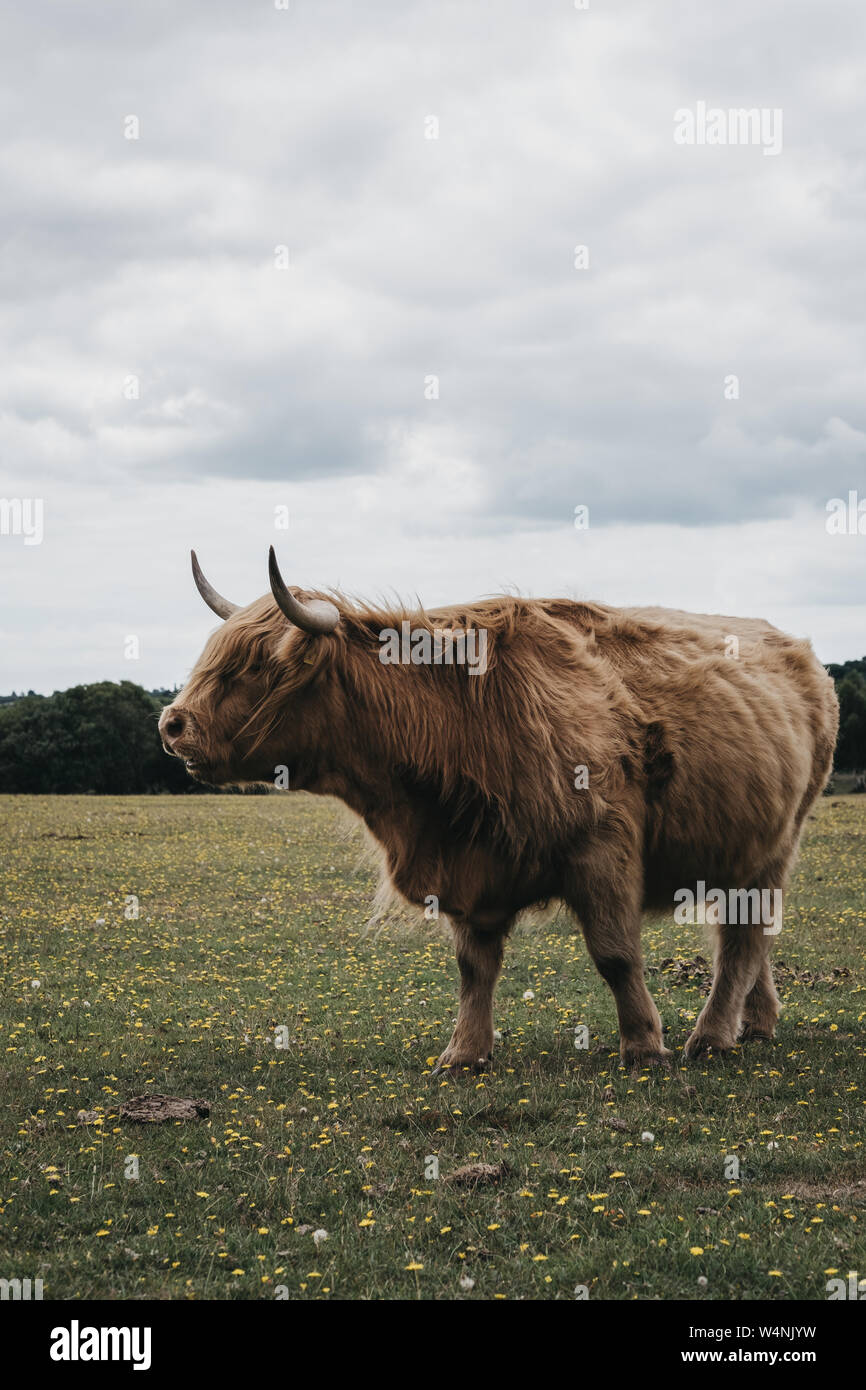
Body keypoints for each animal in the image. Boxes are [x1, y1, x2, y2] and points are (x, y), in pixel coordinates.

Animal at [159, 549, 839, 1071]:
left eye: (256, 664)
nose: (172, 724)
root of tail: (802, 652)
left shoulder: (602, 849)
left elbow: (616, 955)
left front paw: (645, 1047)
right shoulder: (469, 868)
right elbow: (474, 968)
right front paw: (464, 1054)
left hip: (777, 843)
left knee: (744, 938)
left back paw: (713, 1036)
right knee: (745, 935)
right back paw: (757, 1022)